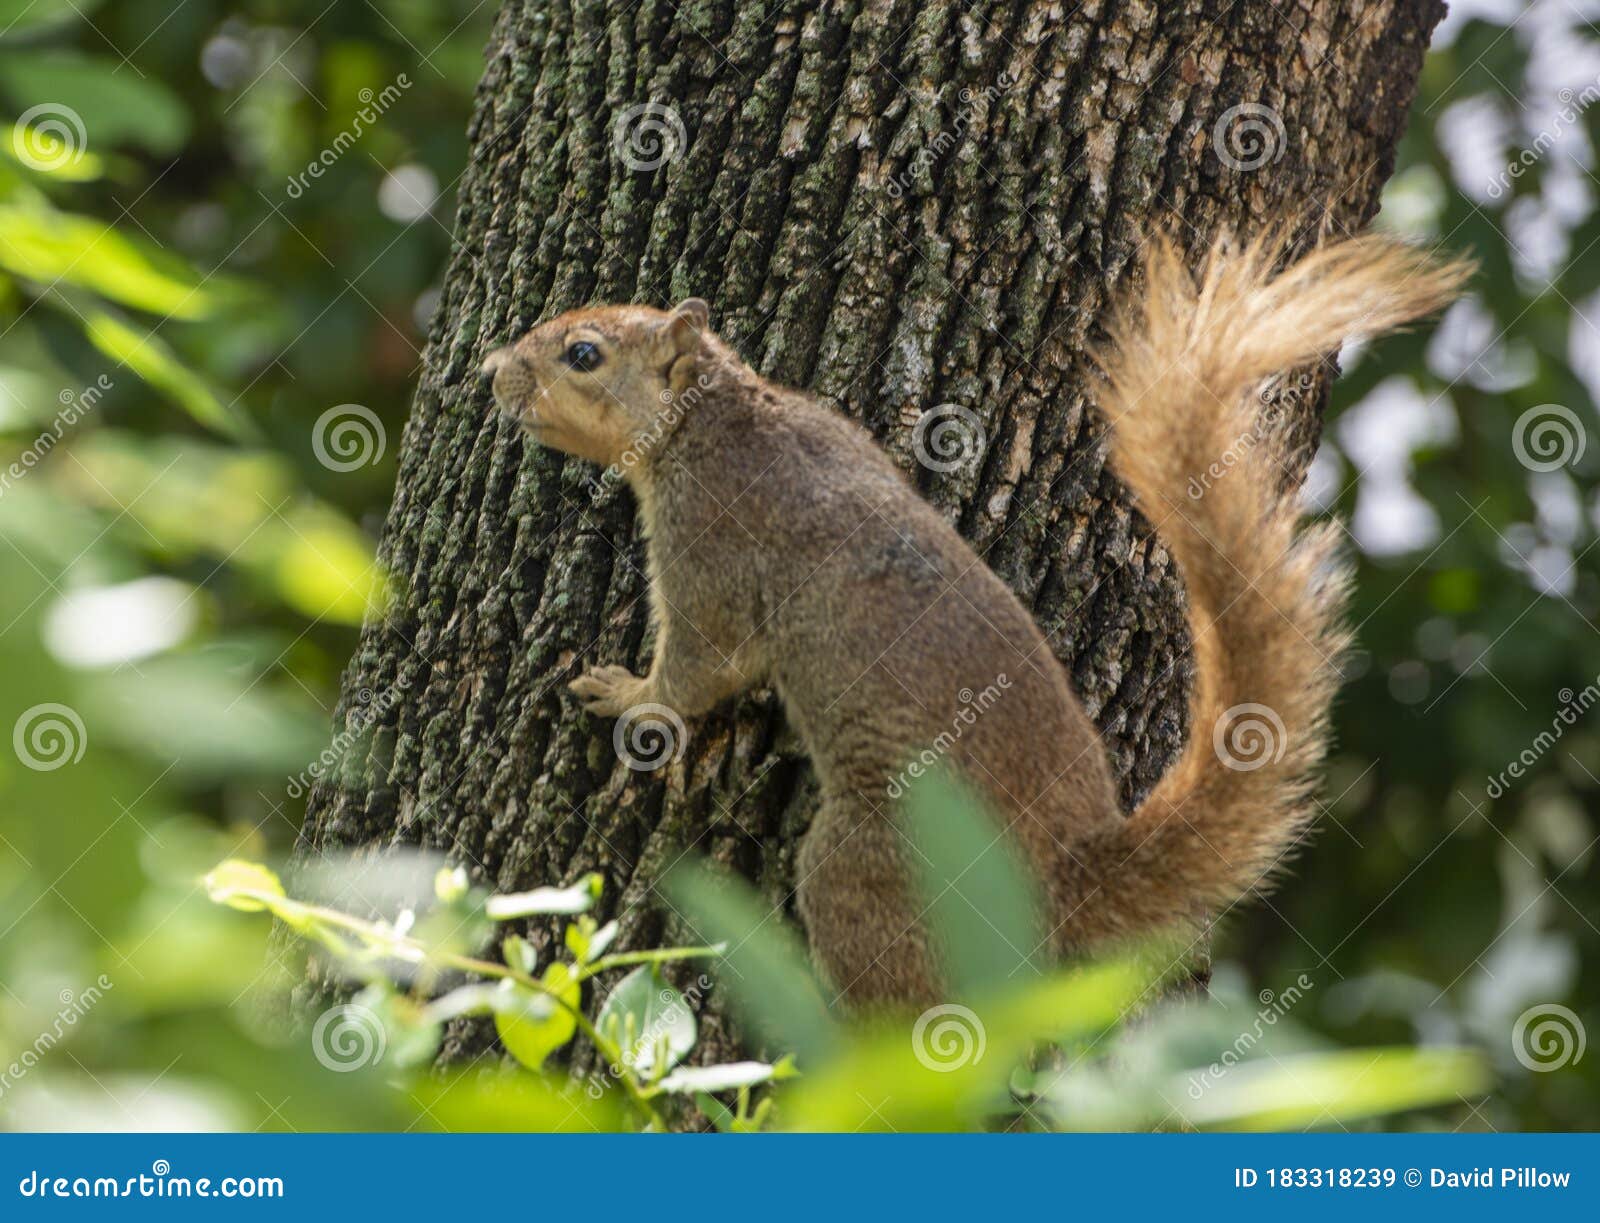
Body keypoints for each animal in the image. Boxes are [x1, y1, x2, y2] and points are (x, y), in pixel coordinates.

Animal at [482, 231, 1467, 1008]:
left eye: (582, 354)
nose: (494, 373)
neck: (715, 416)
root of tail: (1069, 877)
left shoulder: (713, 545)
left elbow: (700, 670)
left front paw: (625, 693)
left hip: (872, 866)